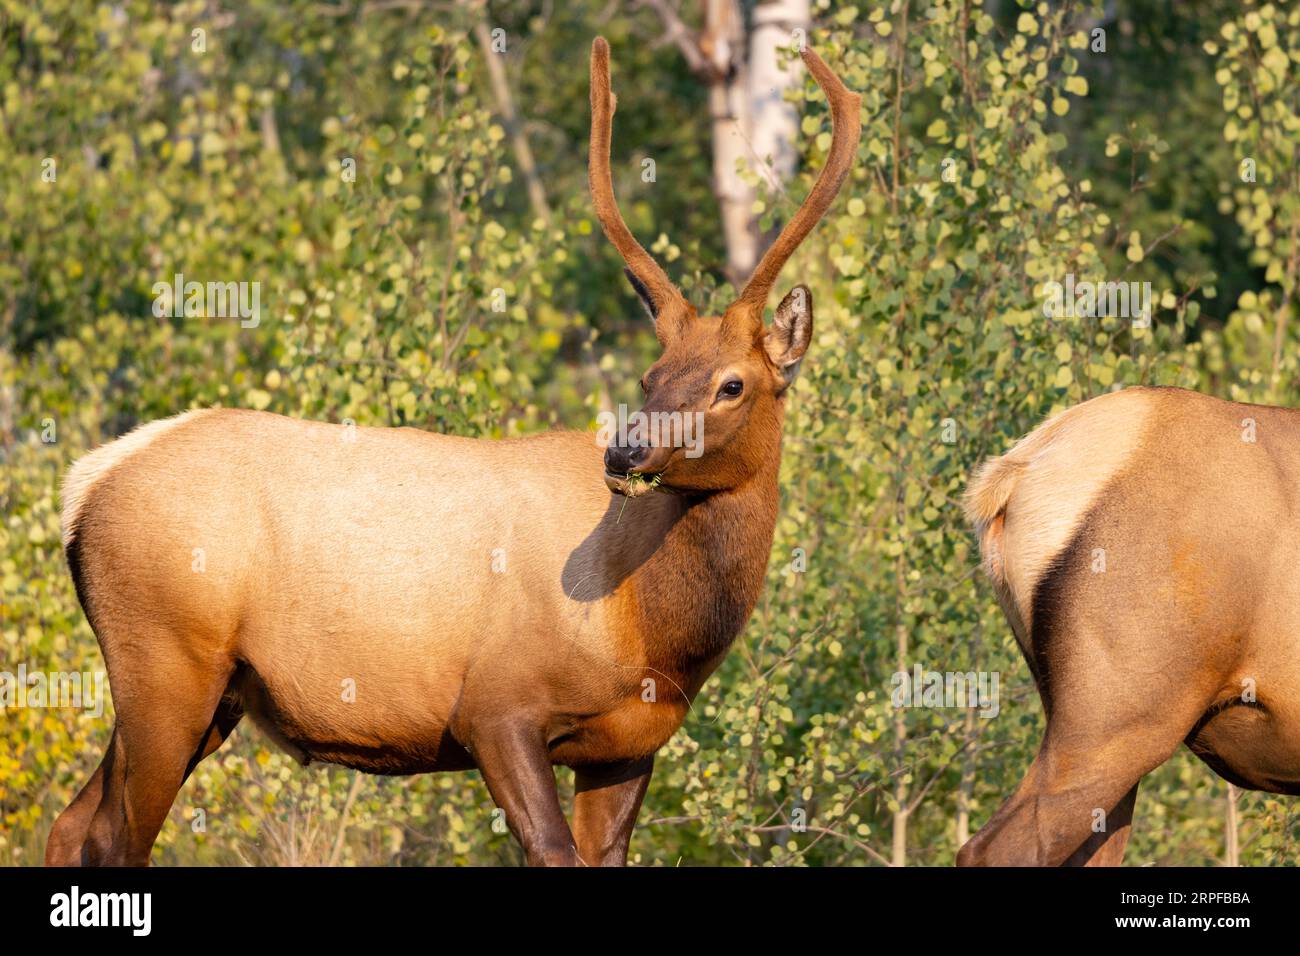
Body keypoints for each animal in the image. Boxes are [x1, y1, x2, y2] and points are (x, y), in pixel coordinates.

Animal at [44, 36, 861, 867]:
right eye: (649, 375)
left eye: (732, 384)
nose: (626, 452)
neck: (651, 634)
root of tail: (83, 487)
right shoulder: (496, 707)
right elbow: (550, 850)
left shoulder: (628, 745)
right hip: (166, 664)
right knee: (113, 836)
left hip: (207, 694)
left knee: (71, 821)